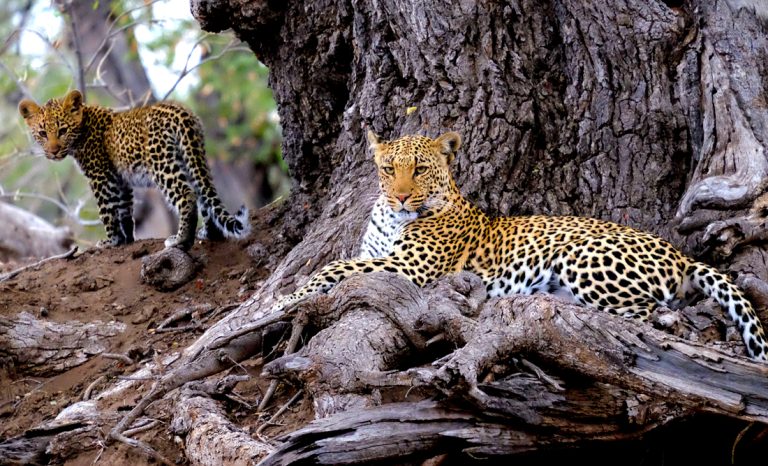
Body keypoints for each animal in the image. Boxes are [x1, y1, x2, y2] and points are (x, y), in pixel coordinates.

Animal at [18, 90, 250, 251]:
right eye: (42, 133)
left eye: (63, 130)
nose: (54, 151)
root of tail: (182, 113)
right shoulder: (120, 178)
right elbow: (124, 210)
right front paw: (127, 239)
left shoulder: (100, 177)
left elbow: (107, 212)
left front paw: (110, 241)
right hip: (192, 158)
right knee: (204, 195)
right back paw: (209, 234)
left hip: (162, 164)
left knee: (187, 195)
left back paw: (180, 240)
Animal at [273, 130, 768, 362]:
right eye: (389, 168)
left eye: (420, 170)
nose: (399, 197)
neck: (391, 217)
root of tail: (680, 253)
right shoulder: (378, 254)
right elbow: (342, 263)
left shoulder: (409, 267)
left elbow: (332, 269)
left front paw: (284, 300)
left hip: (580, 255)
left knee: (647, 313)